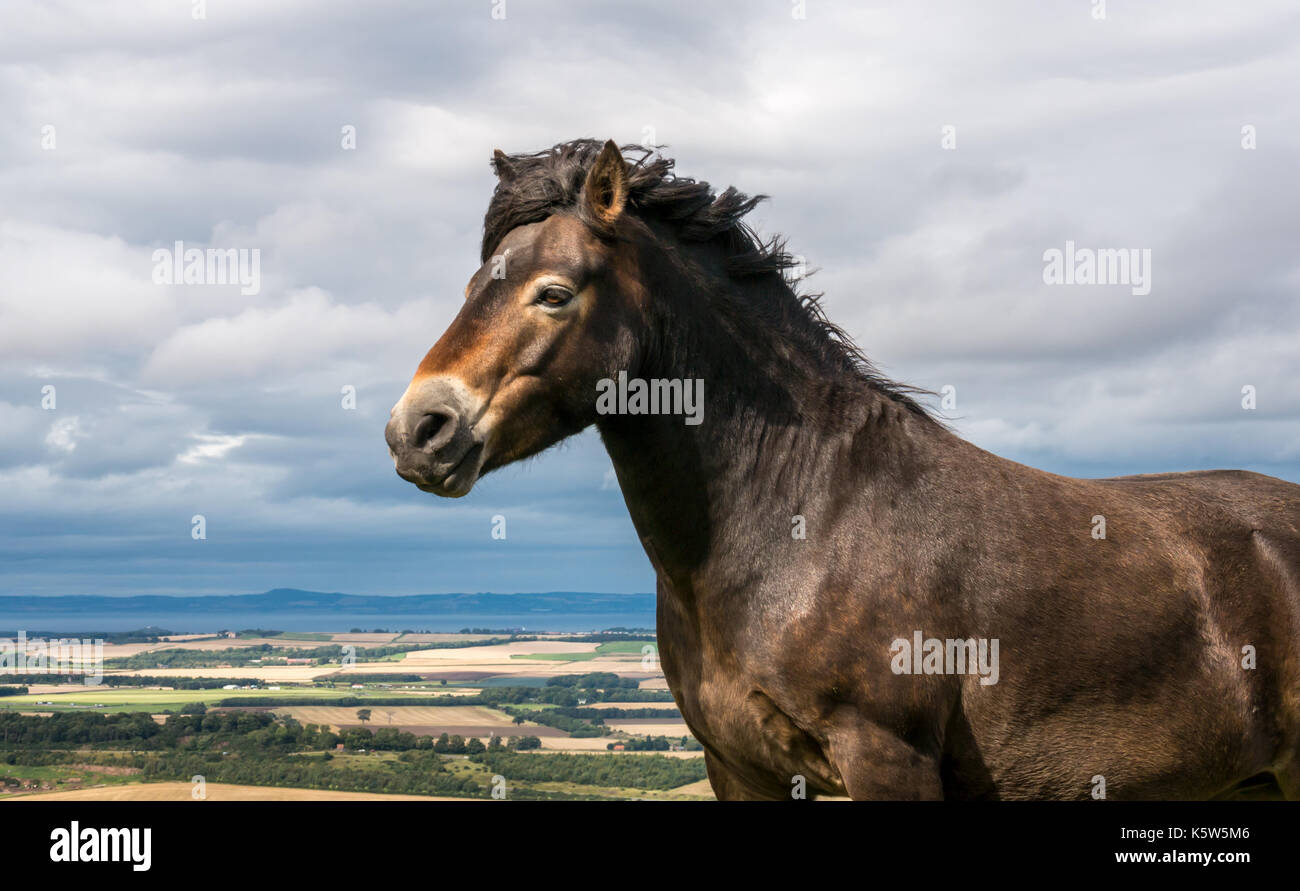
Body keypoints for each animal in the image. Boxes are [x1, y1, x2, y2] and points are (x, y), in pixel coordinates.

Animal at [385, 139, 1300, 800]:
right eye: (473, 285)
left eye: (553, 292)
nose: (417, 430)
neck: (805, 517)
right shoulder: (740, 769)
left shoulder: (886, 761)